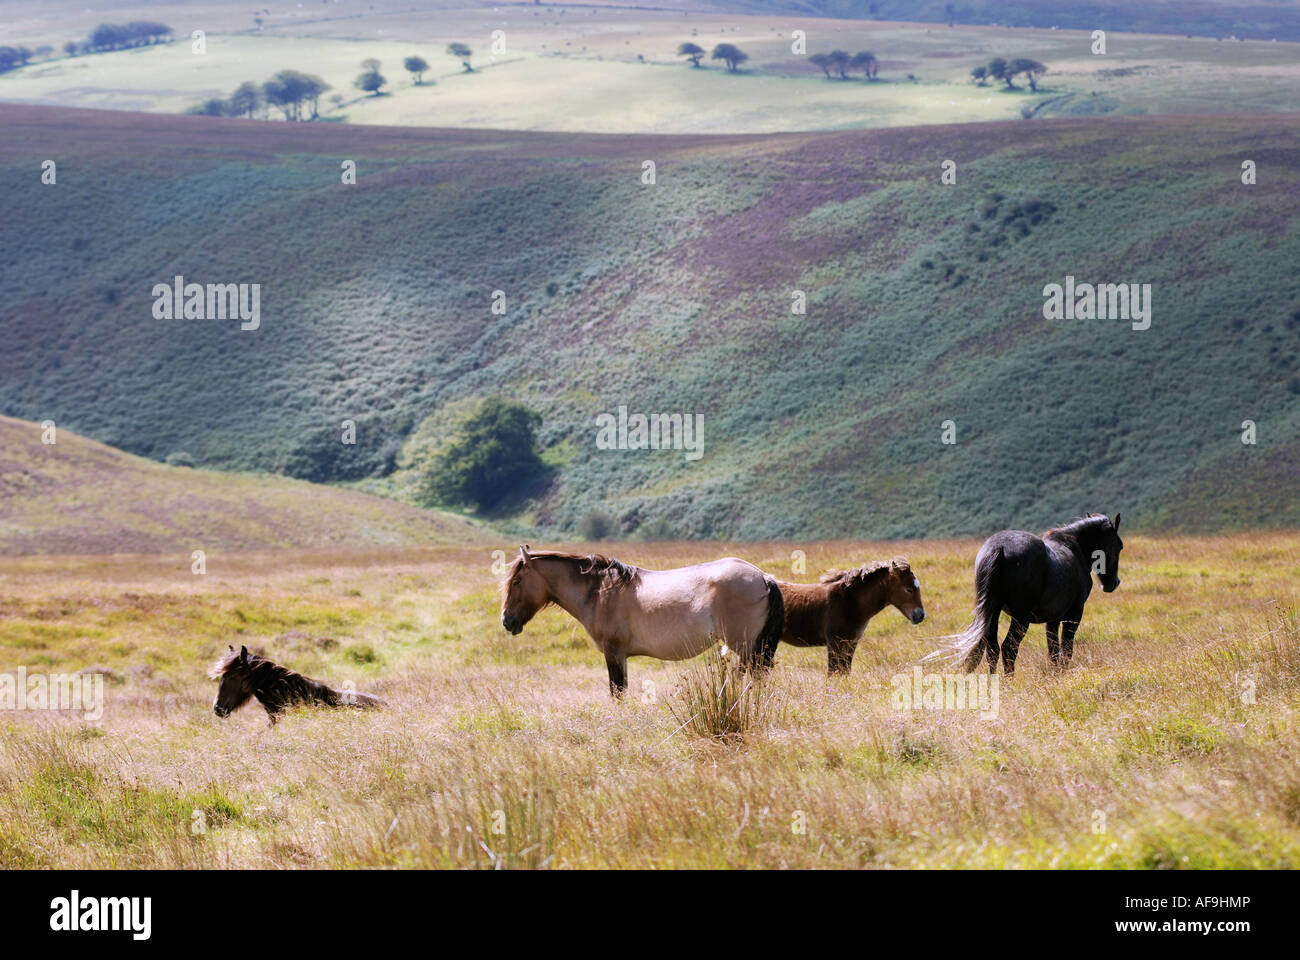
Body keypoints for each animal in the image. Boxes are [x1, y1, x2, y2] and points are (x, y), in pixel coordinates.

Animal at [500, 545, 785, 698]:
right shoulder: (621, 656)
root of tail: (763, 577)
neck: (601, 591)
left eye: (517, 582)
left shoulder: (613, 652)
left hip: (745, 647)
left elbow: (617, 691)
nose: (506, 621)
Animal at [777, 557, 926, 675]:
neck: (849, 601)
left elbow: (845, 670)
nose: (920, 615)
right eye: (908, 589)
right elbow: (834, 671)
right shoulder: (834, 642)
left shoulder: (851, 642)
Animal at [944, 513, 1124, 675]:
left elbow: (1053, 651)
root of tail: (999, 547)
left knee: (993, 649)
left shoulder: (1053, 619)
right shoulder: (1074, 613)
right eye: (1120, 545)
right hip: (1021, 617)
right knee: (1009, 648)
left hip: (993, 613)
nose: (1112, 583)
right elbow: (1066, 649)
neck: (1074, 549)